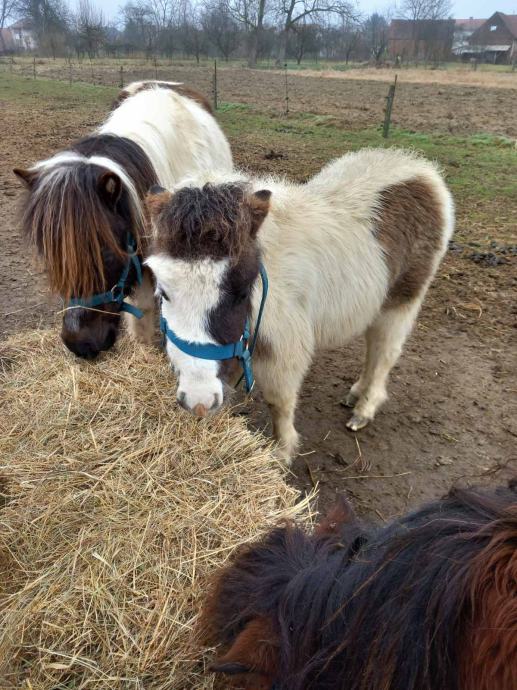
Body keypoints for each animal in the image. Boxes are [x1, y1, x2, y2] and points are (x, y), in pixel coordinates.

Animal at [145, 148, 454, 462]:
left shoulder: (284, 349)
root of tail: (423, 172)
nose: (198, 401)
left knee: (384, 352)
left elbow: (278, 403)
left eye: (242, 292)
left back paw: (364, 409)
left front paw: (281, 454)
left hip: (402, 302)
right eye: (164, 292)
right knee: (372, 347)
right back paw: (355, 393)